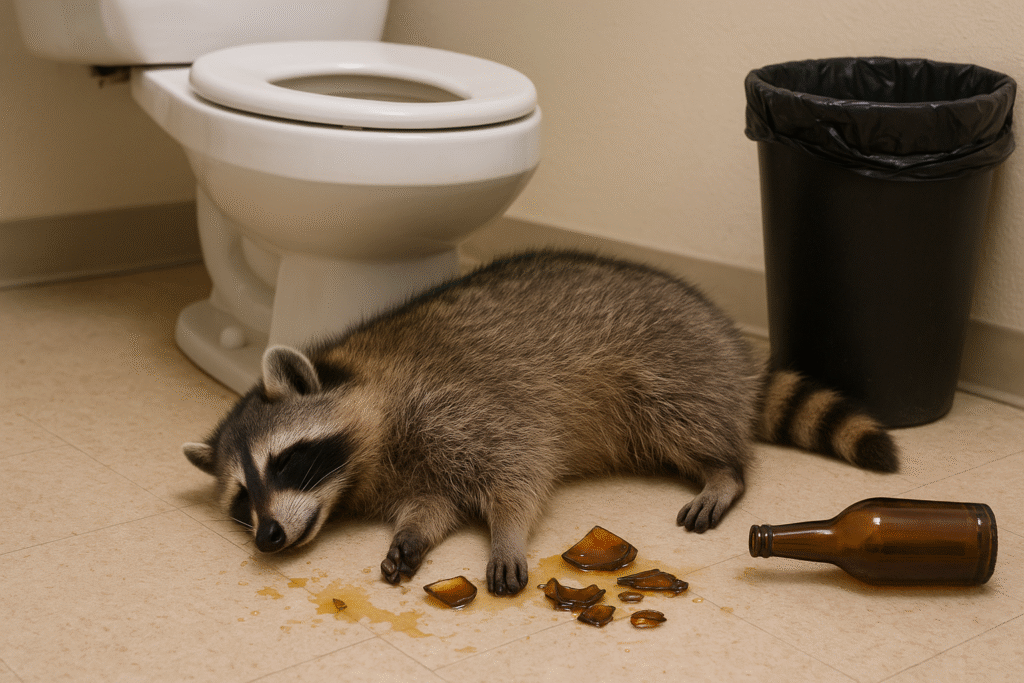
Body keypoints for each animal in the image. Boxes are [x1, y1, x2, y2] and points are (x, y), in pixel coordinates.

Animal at [183, 251, 898, 596]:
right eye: (242, 499)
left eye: (286, 461)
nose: (268, 537)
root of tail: (732, 348)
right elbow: (435, 503)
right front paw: (413, 535)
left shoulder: (460, 404)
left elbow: (518, 471)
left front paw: (505, 534)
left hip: (668, 363)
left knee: (684, 418)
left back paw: (722, 470)